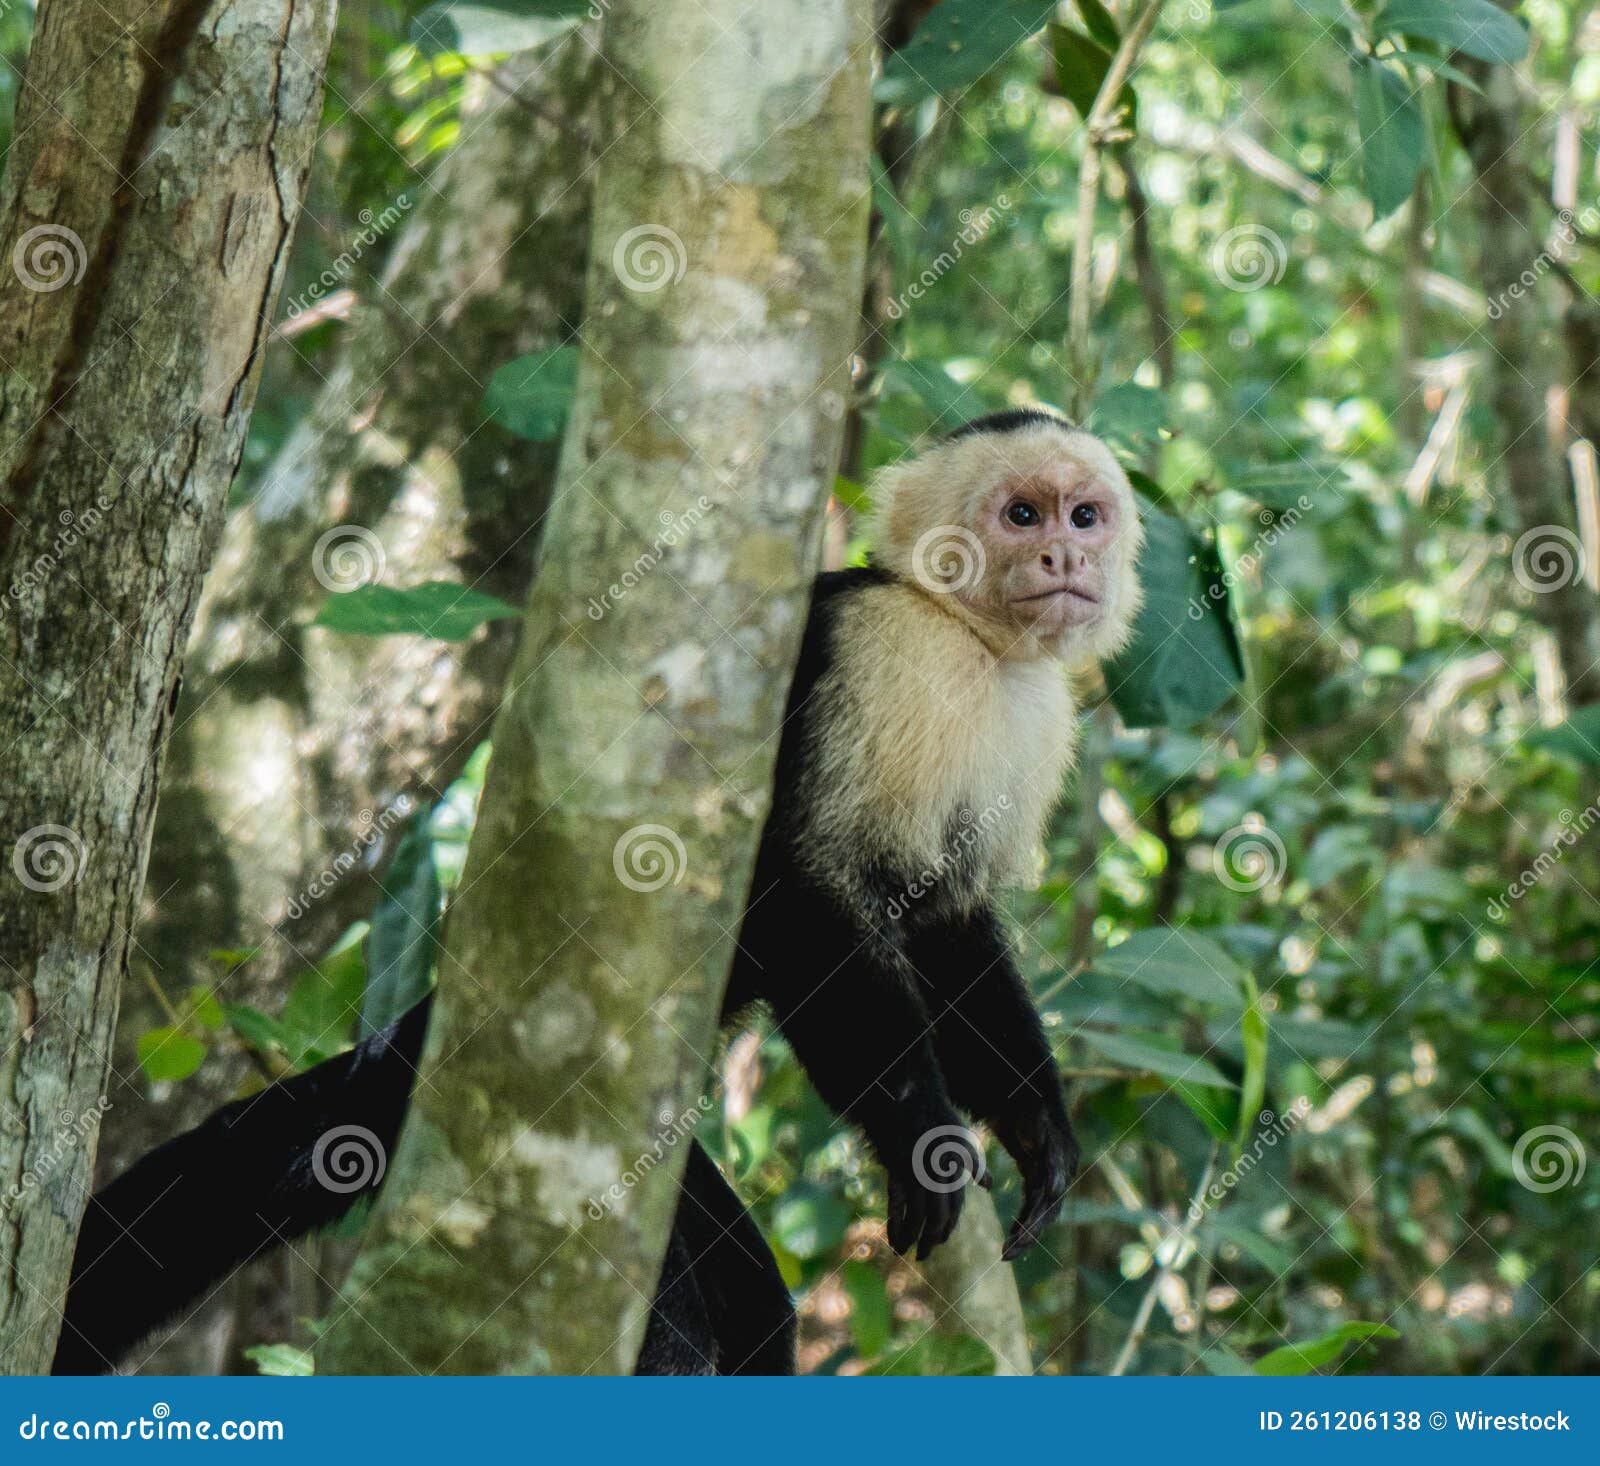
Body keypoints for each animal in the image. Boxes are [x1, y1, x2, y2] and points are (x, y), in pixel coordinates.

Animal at [52, 407, 1142, 1376]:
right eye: (1021, 514)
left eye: (1084, 514)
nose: (1066, 560)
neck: (967, 637)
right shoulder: (882, 659)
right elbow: (802, 887)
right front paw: (924, 1136)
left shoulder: (1032, 719)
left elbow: (949, 925)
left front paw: (1037, 1128)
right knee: (671, 1334)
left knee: (751, 1309)